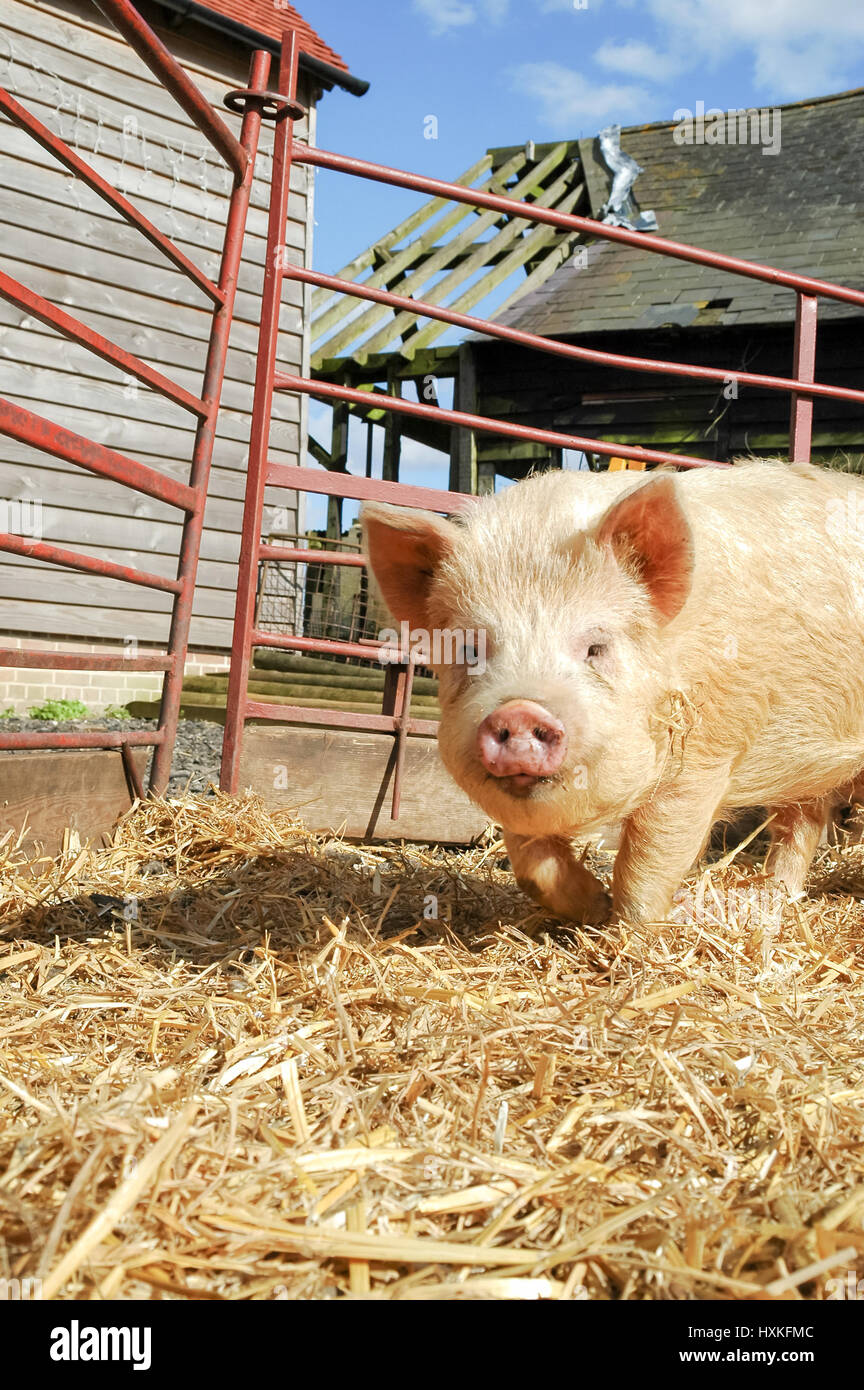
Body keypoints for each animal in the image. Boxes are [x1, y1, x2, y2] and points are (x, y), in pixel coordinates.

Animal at [361, 460, 864, 925]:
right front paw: (593, 908)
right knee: (804, 820)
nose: (520, 712)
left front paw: (636, 932)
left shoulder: (706, 754)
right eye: (469, 649)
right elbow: (532, 862)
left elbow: (652, 857)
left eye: (595, 647)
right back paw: (772, 897)